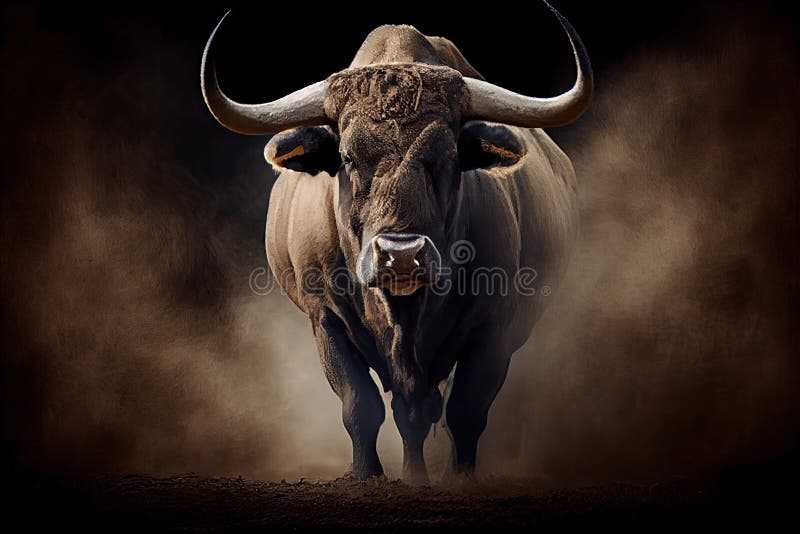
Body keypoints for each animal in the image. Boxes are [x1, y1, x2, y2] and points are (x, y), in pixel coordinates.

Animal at [201, 3, 592, 484]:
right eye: (347, 156)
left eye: (448, 157)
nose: (401, 255)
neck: (404, 314)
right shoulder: (325, 319)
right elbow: (361, 405)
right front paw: (368, 474)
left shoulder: (494, 330)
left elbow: (465, 410)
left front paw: (455, 478)